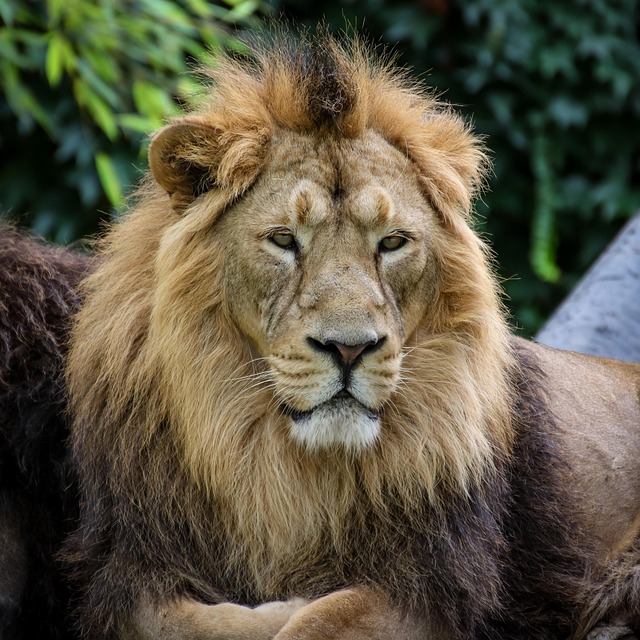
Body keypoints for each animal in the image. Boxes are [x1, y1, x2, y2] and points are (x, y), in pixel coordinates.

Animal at [2, 30, 640, 640]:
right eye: (284, 239)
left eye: (392, 242)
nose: (349, 348)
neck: (285, 467)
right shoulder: (129, 574)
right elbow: (187, 622)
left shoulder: (439, 587)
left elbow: (317, 621)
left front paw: (295, 606)